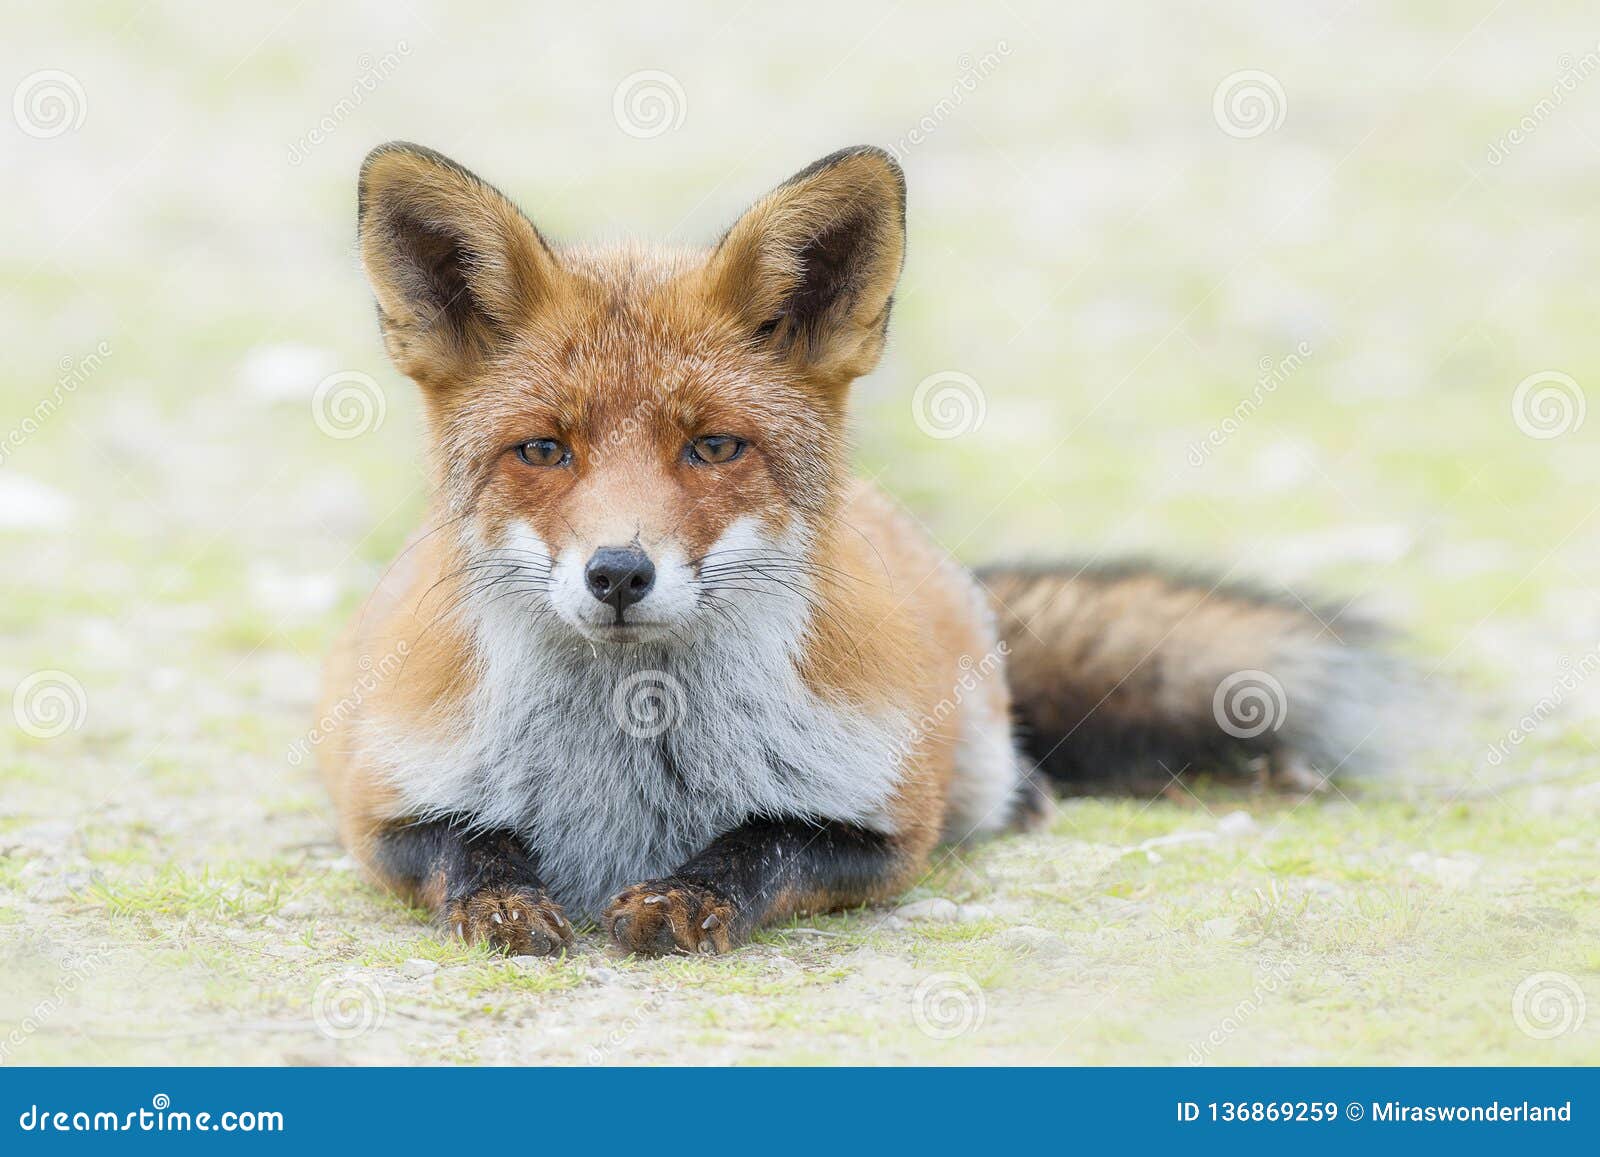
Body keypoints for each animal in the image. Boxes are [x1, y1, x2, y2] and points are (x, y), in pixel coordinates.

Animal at [317, 142, 1396, 957]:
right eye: (544, 448)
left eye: (714, 447)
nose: (619, 570)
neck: (631, 761)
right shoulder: (382, 805)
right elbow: (470, 847)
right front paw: (505, 898)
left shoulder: (881, 822)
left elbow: (764, 840)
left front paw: (684, 894)